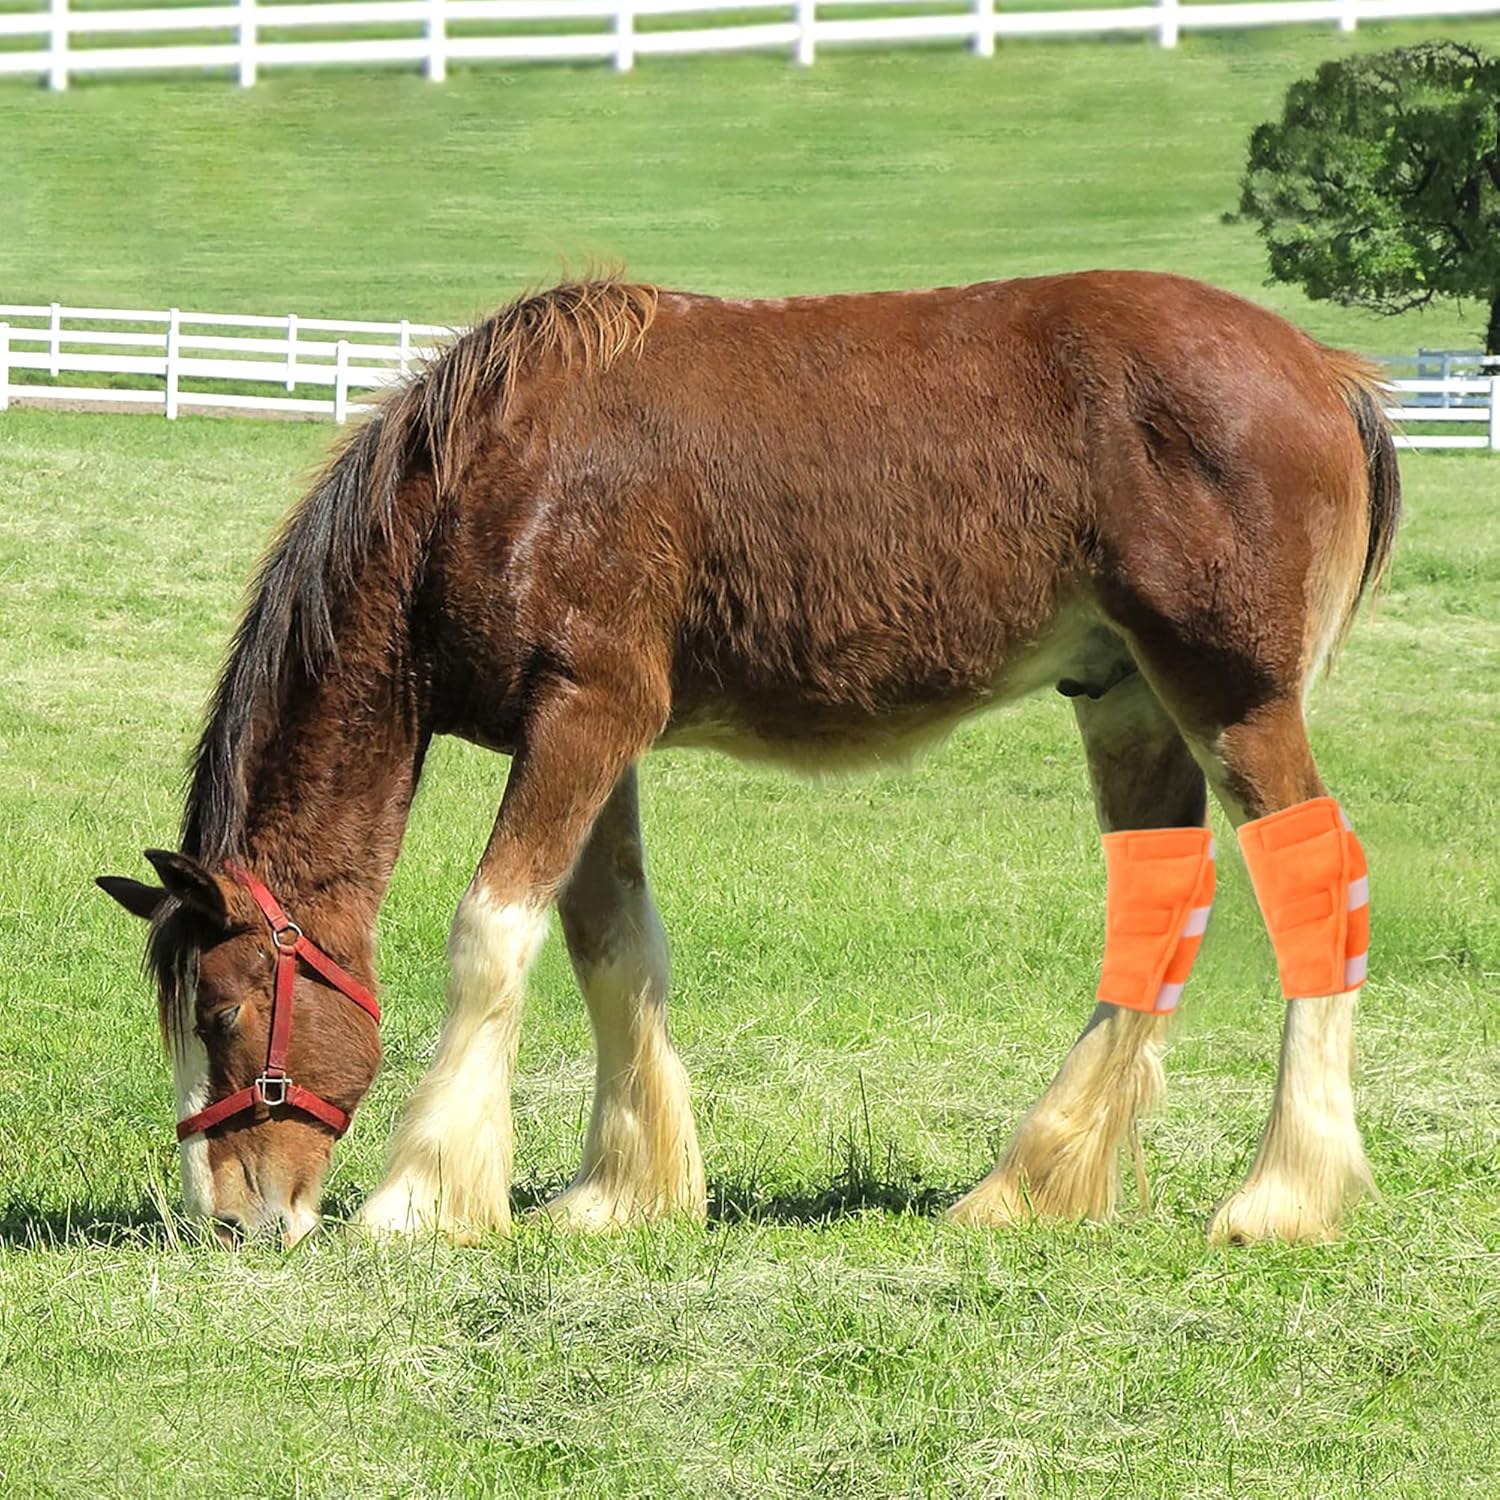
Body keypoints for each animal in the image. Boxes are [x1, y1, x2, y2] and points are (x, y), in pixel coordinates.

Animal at [96, 271, 1399, 1248]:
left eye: (222, 1009)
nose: (232, 1222)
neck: (501, 475)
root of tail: (1323, 370)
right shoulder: (593, 740)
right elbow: (610, 946)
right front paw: (621, 1193)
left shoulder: (583, 718)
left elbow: (491, 935)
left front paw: (421, 1198)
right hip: (1125, 697)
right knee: (1159, 905)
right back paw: (1028, 1185)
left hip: (1232, 700)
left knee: (1315, 885)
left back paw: (1280, 1197)